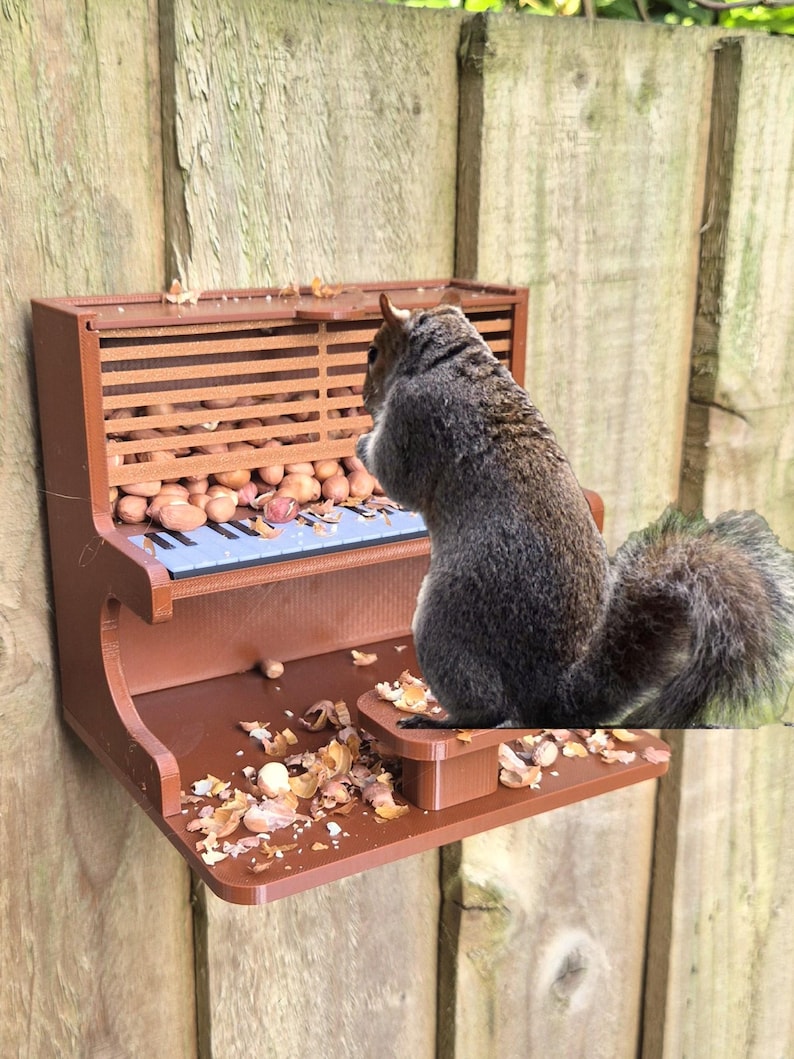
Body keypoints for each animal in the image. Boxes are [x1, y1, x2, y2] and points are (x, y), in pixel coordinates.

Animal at [355, 292, 794, 729]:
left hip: (447, 620)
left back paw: (440, 720)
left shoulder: (416, 415)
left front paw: (361, 444)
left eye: (373, 352)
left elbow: (399, 478)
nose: (363, 398)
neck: (448, 358)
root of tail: (549, 695)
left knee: (487, 708)